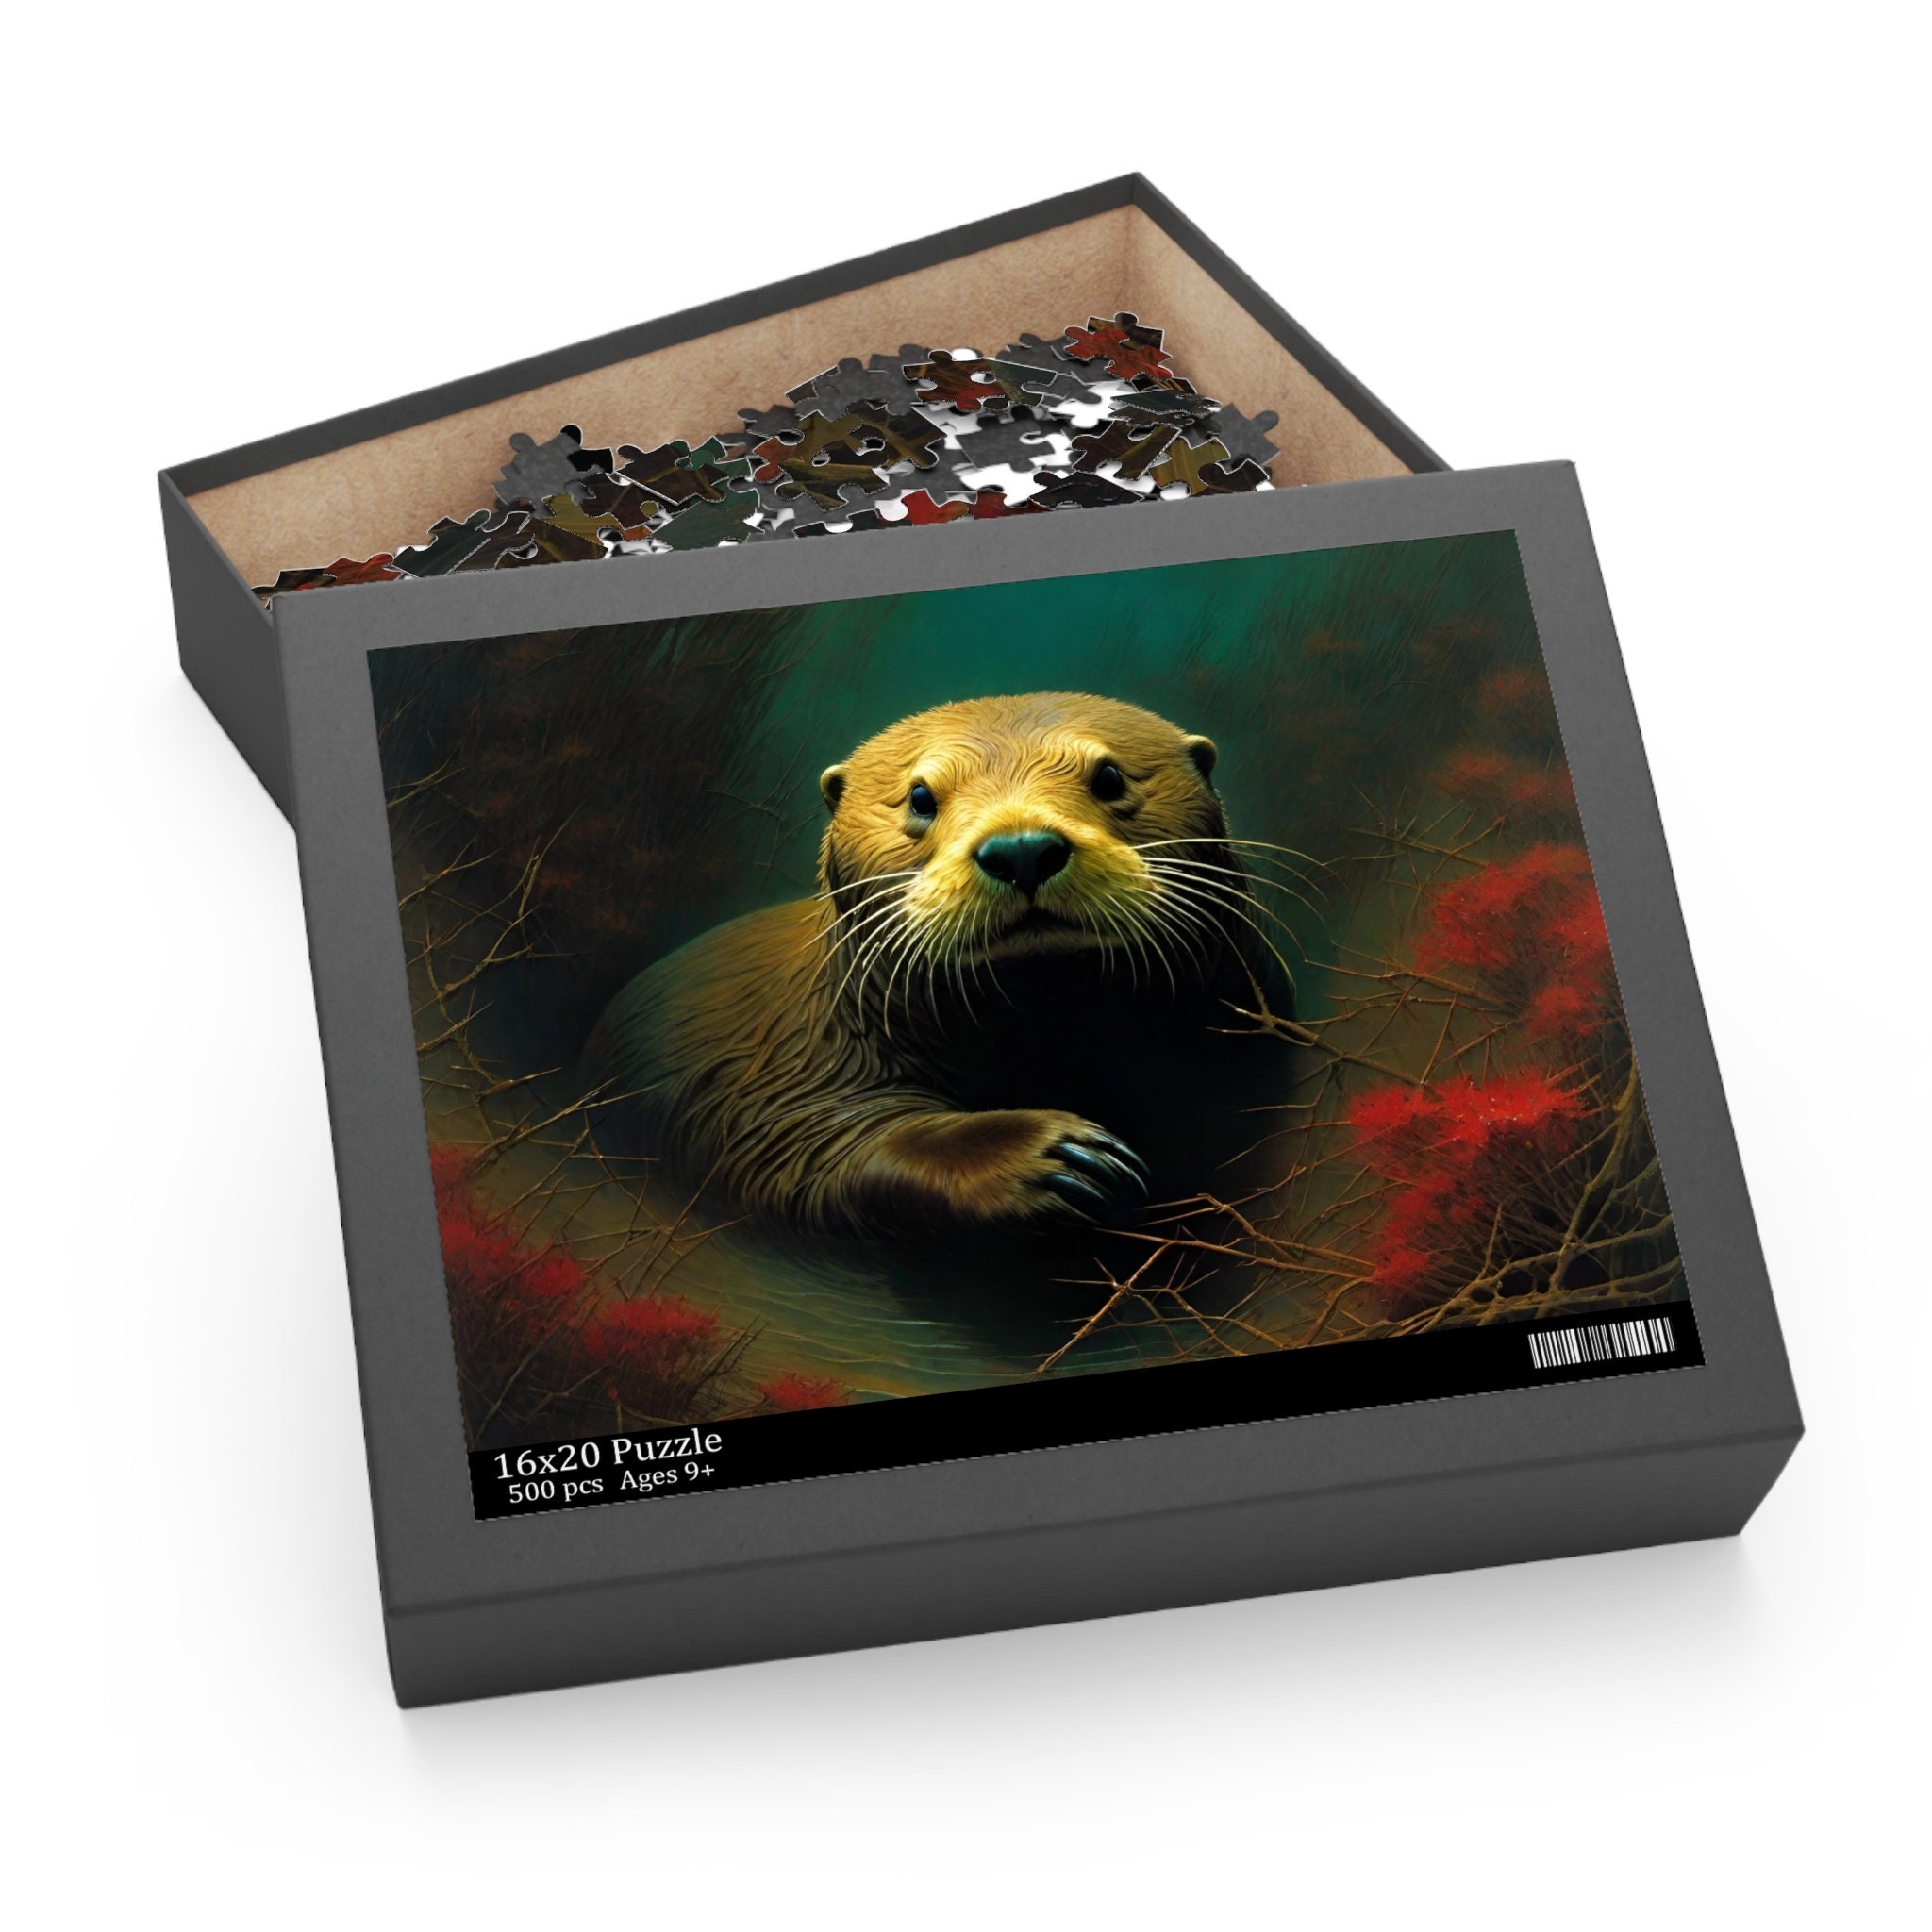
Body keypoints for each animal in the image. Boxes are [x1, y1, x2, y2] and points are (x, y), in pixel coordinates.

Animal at [584, 692, 1299, 1239]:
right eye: (921, 797)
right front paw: (1047, 1157)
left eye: (1110, 779)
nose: (1022, 847)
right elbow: (817, 1145)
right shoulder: (772, 1084)